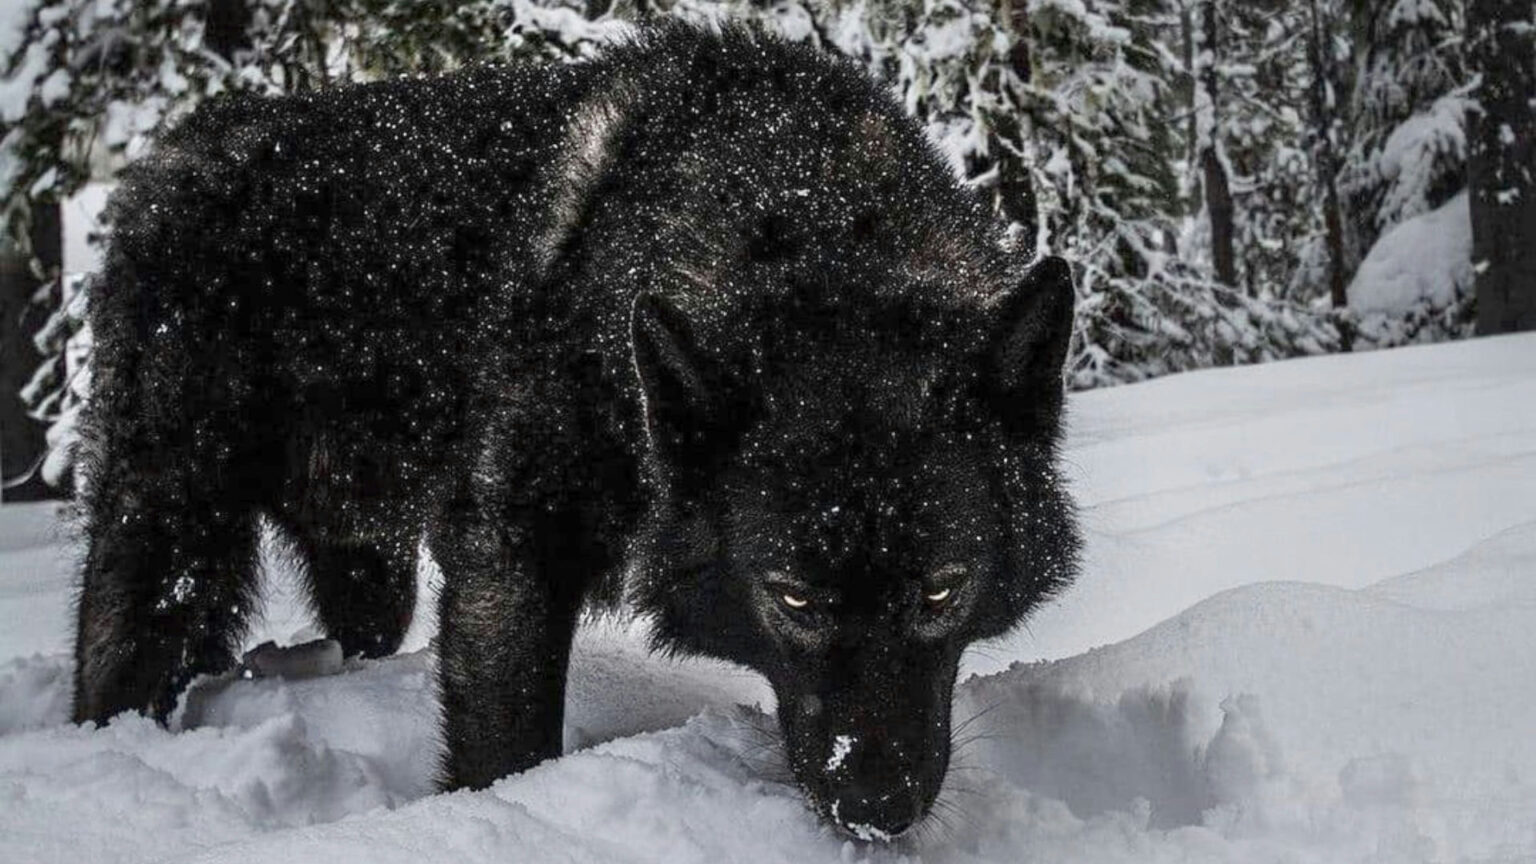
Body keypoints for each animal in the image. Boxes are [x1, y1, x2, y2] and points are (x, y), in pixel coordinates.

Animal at [72, 21, 1079, 839]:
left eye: (943, 589)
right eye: (793, 599)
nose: (875, 808)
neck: (800, 207)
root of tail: (174, 156)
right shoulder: (509, 556)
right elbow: (506, 748)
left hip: (368, 573)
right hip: (166, 548)